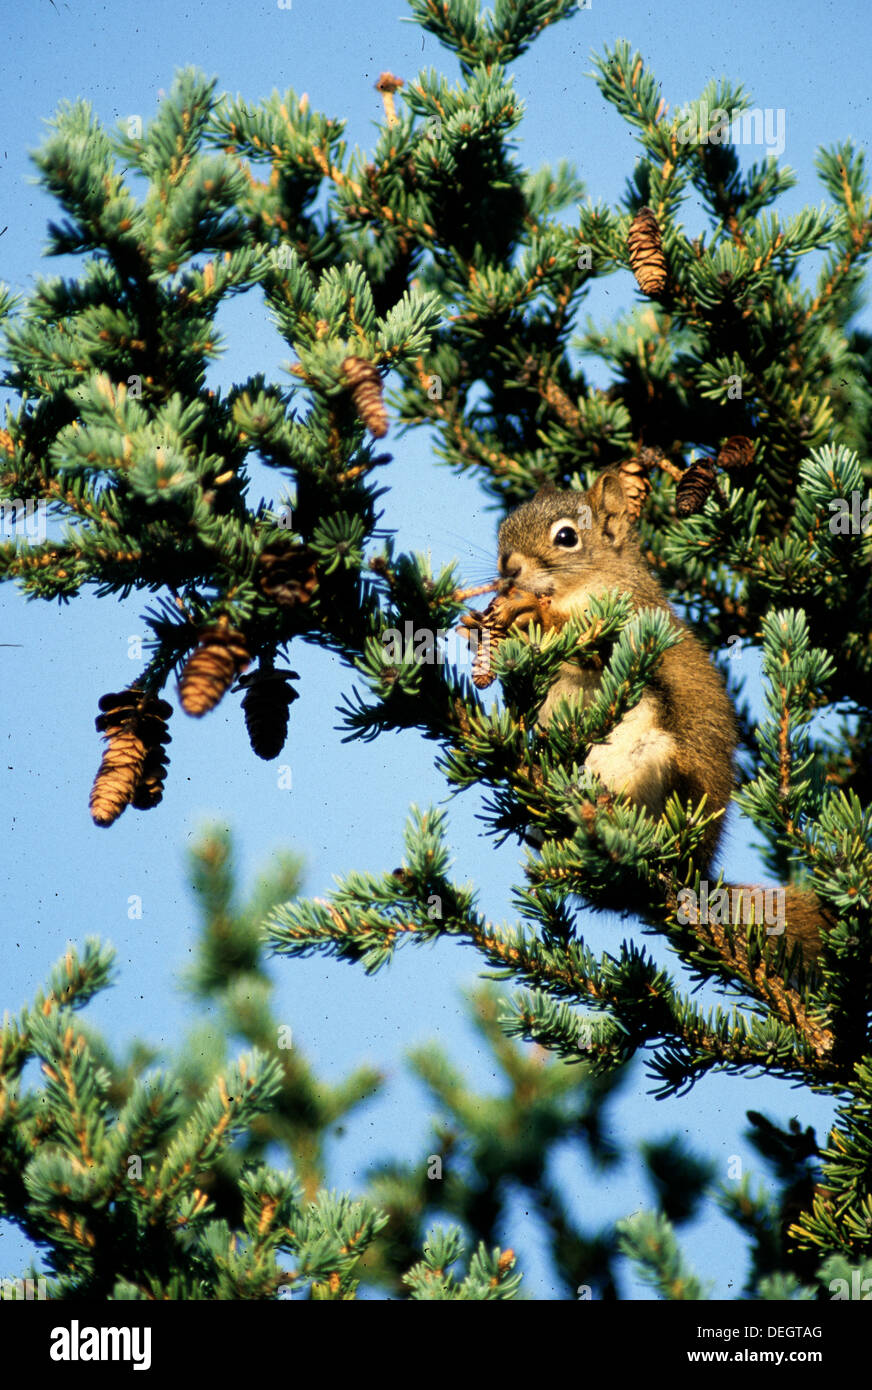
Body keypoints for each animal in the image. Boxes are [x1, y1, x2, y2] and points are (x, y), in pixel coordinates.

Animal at [492, 472, 830, 969]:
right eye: (503, 533)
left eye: (567, 537)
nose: (509, 569)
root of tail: (699, 872)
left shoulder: (626, 621)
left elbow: (586, 645)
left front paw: (528, 611)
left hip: (660, 763)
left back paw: (610, 813)